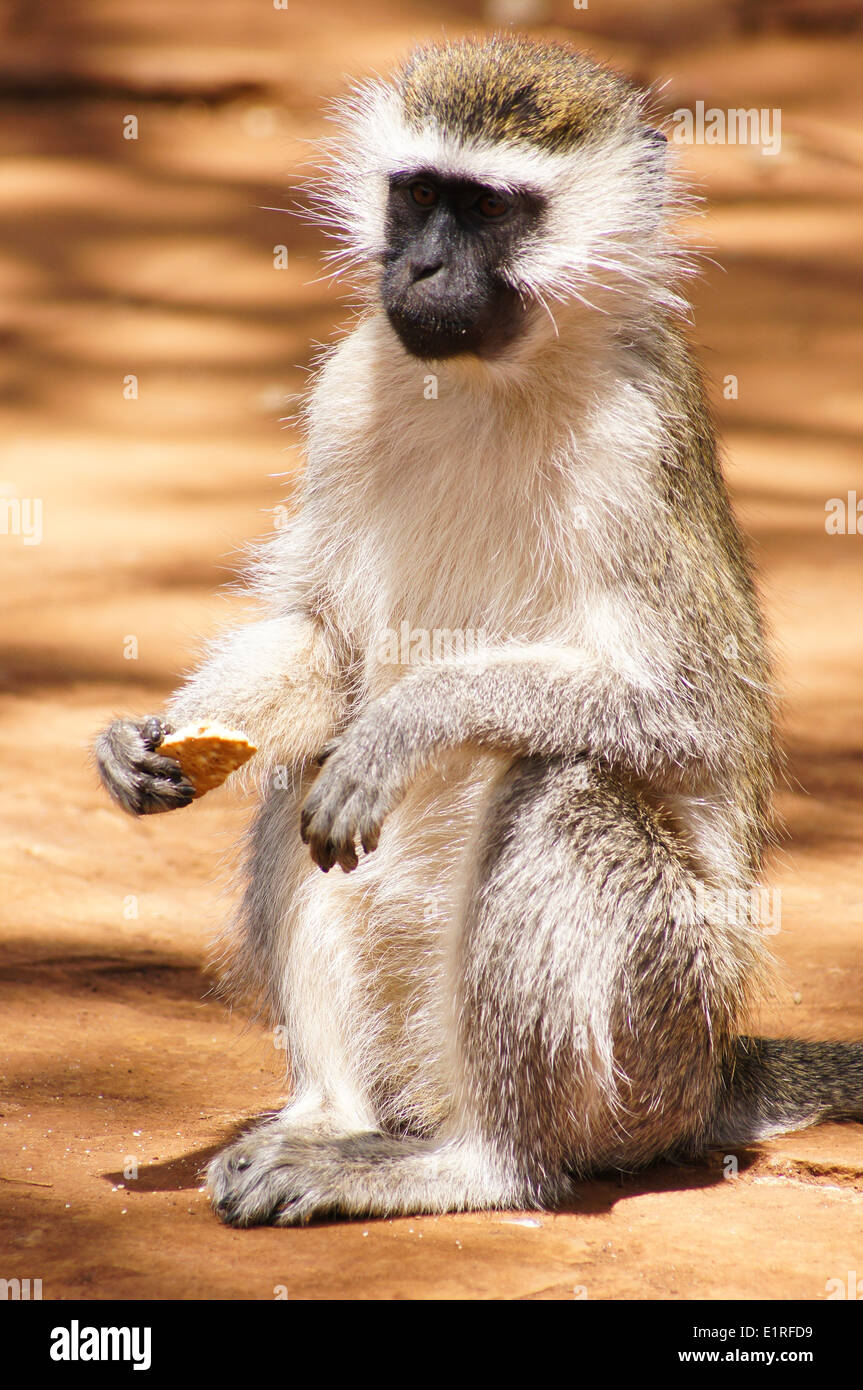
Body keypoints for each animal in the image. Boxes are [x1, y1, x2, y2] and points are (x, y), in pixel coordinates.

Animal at [95, 35, 863, 1226]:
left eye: (491, 209)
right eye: (418, 195)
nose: (415, 272)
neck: (484, 381)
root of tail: (716, 1072)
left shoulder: (637, 438)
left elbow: (689, 713)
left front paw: (407, 722)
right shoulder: (344, 385)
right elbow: (325, 643)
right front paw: (149, 737)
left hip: (662, 1030)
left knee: (557, 786)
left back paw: (480, 1162)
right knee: (304, 773)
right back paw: (333, 1118)